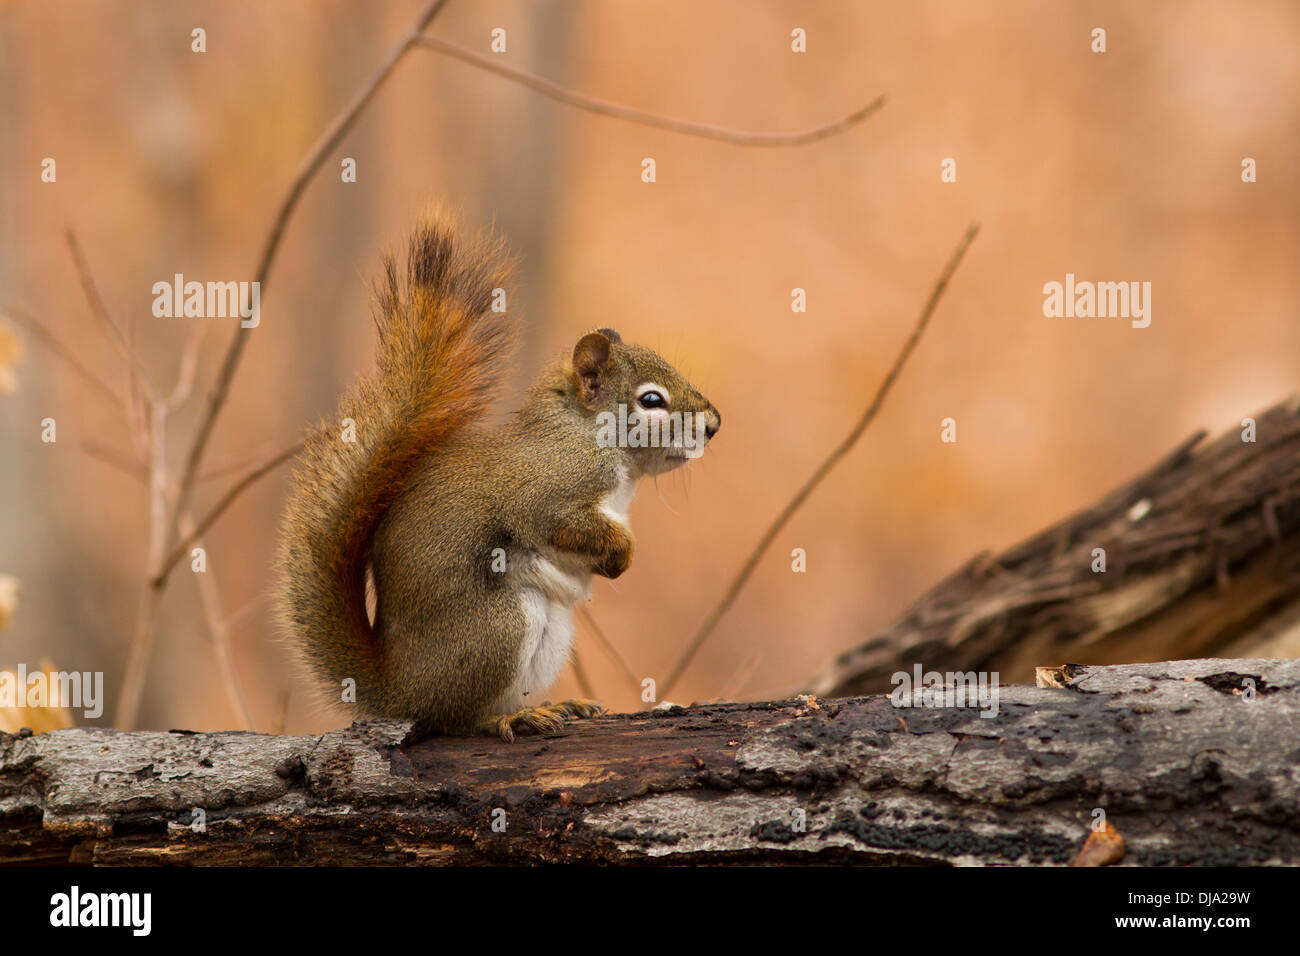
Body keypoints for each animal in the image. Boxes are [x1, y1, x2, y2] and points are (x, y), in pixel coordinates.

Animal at [277, 211, 721, 741]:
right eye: (651, 400)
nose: (715, 424)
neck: (589, 435)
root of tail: (401, 688)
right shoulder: (548, 490)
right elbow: (561, 523)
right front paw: (623, 552)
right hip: (501, 628)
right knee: (456, 719)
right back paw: (509, 717)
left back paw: (556, 705)